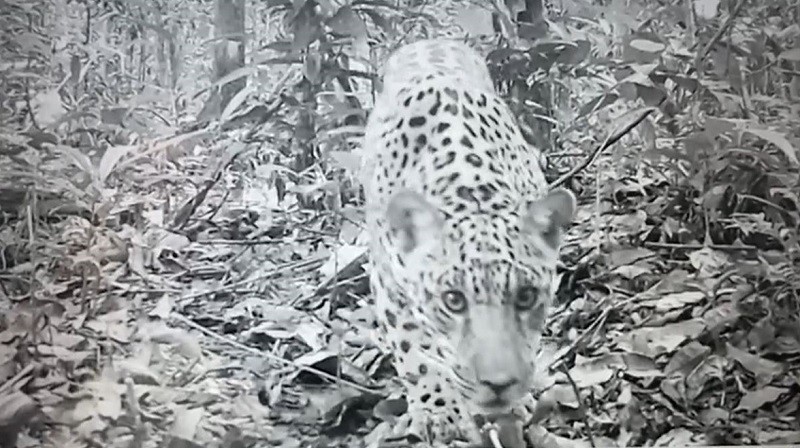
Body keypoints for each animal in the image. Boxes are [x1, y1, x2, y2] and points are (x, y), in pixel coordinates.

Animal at [361, 39, 576, 446]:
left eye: (526, 296)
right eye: (453, 300)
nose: (499, 384)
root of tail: (429, 39)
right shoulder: (387, 284)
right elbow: (414, 350)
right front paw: (438, 411)